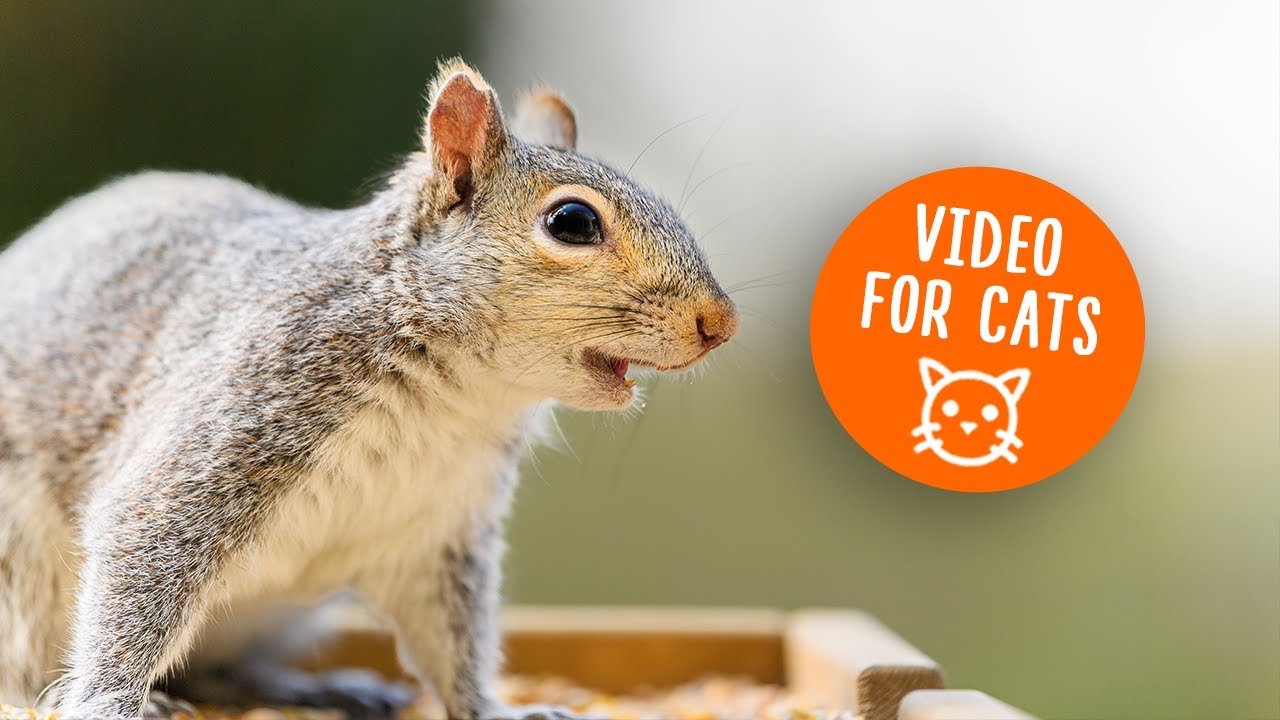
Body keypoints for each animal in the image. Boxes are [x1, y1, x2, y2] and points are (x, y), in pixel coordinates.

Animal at [0, 59, 738, 719]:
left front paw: (495, 709)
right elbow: (142, 540)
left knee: (214, 673)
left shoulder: (436, 533)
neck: (455, 396)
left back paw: (309, 688)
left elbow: (451, 637)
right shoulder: (243, 411)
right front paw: (106, 704)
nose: (721, 323)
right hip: (19, 568)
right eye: (573, 223)